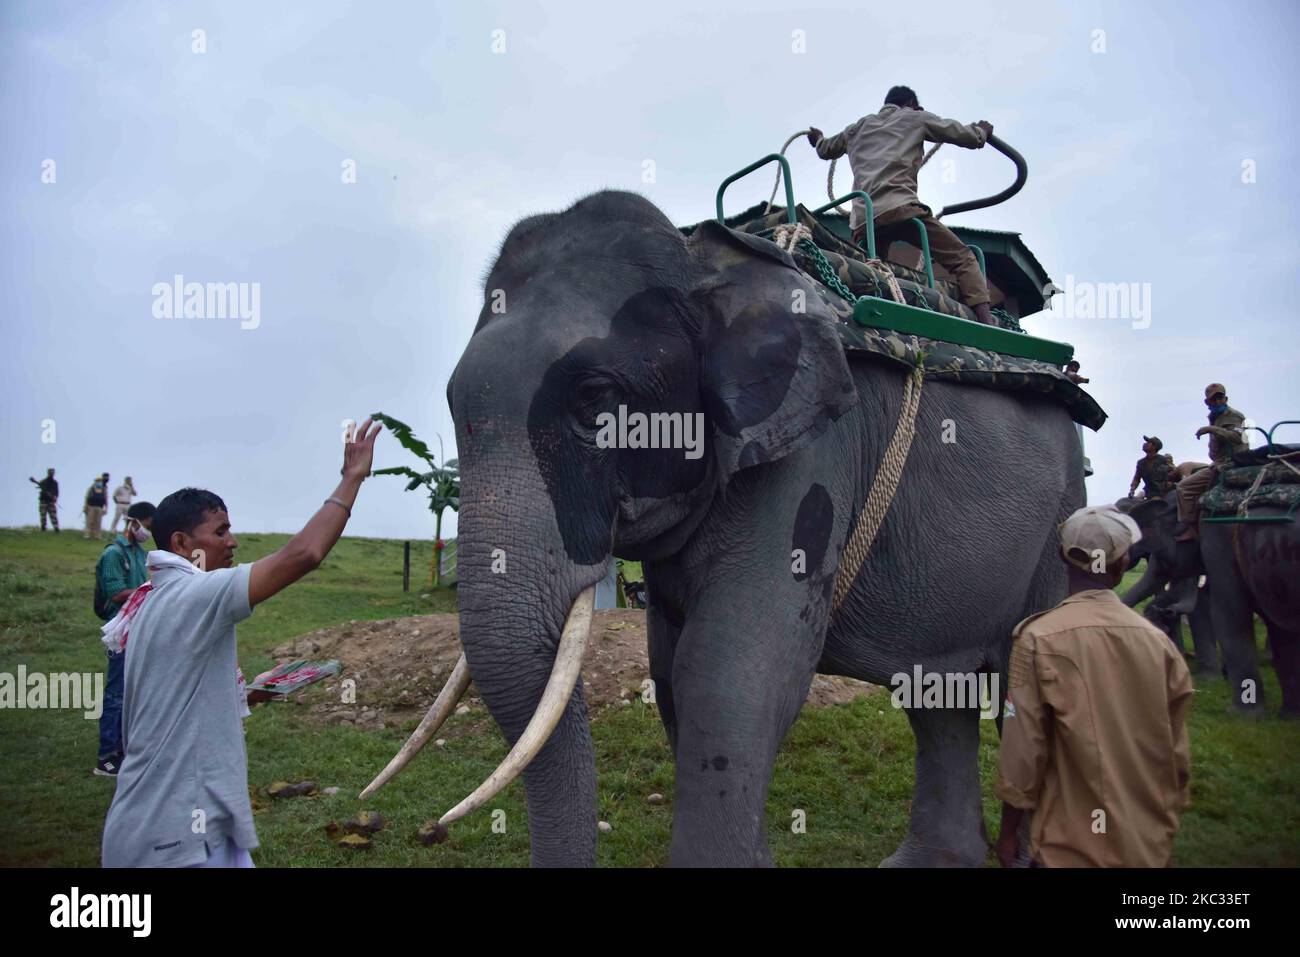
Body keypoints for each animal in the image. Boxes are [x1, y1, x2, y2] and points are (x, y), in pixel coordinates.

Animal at [370, 190, 1085, 867]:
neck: (704, 260)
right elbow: (671, 671)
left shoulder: (811, 450)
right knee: (935, 692)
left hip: (1066, 513)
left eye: (596, 398)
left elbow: (726, 668)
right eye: (454, 404)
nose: (431, 827)